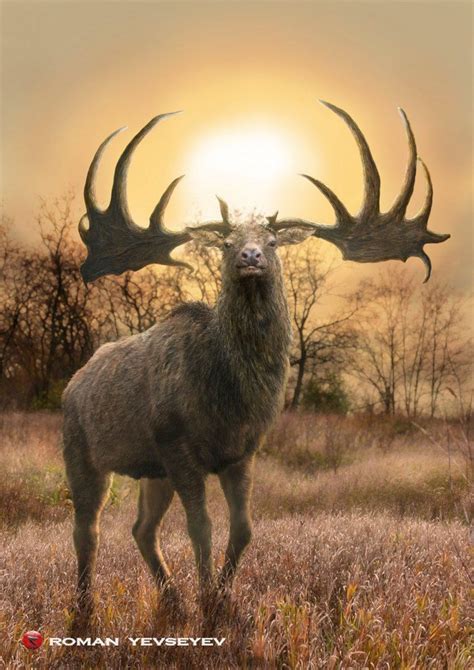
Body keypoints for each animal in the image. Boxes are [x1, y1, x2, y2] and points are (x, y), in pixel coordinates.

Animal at [62, 101, 449, 619]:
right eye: (227, 243)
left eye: (272, 242)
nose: (248, 255)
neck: (231, 397)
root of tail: (73, 382)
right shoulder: (179, 443)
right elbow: (201, 529)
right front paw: (207, 600)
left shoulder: (242, 451)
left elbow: (244, 529)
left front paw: (221, 597)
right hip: (80, 448)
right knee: (87, 528)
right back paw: (85, 604)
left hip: (151, 467)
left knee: (141, 529)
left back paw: (171, 599)